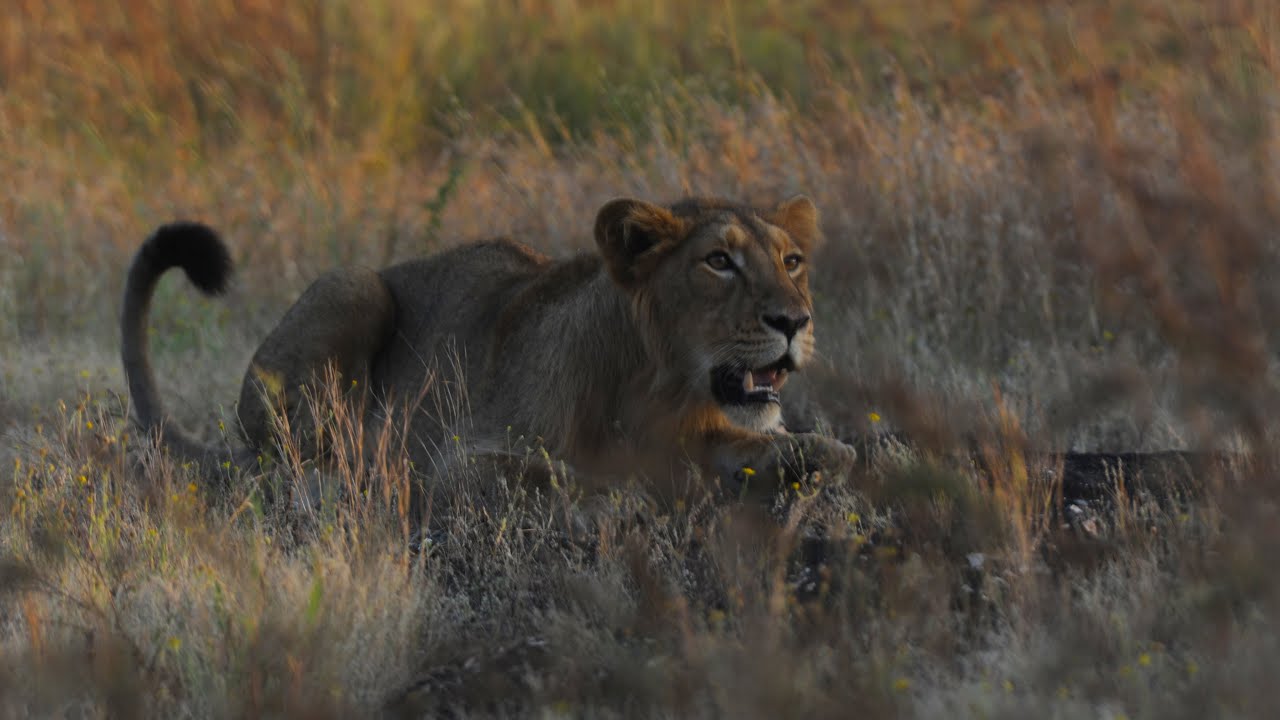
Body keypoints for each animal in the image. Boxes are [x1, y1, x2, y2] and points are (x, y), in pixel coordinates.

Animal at [121, 195, 857, 505]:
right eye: (718, 262)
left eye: (792, 260)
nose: (794, 320)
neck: (658, 391)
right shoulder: (461, 459)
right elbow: (563, 474)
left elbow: (802, 450)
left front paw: (809, 456)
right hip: (354, 284)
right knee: (289, 459)